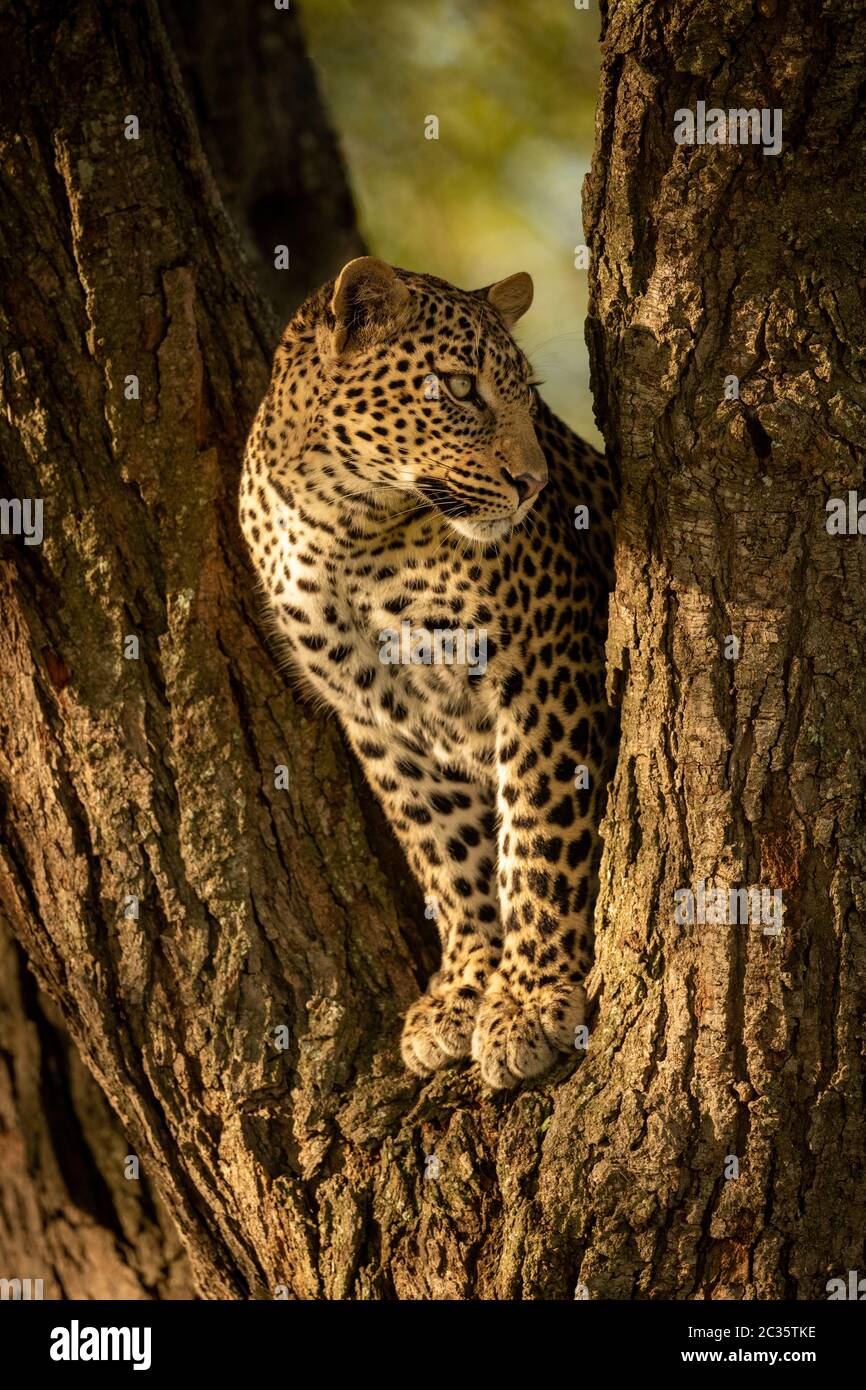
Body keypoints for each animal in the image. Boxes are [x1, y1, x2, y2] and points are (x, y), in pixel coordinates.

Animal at [240, 256, 618, 1088]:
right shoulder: (379, 717)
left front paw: (529, 997)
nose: (533, 485)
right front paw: (468, 987)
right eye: (457, 387)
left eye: (528, 395)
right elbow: (448, 852)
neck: (343, 526)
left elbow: (536, 833)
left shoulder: (544, 661)